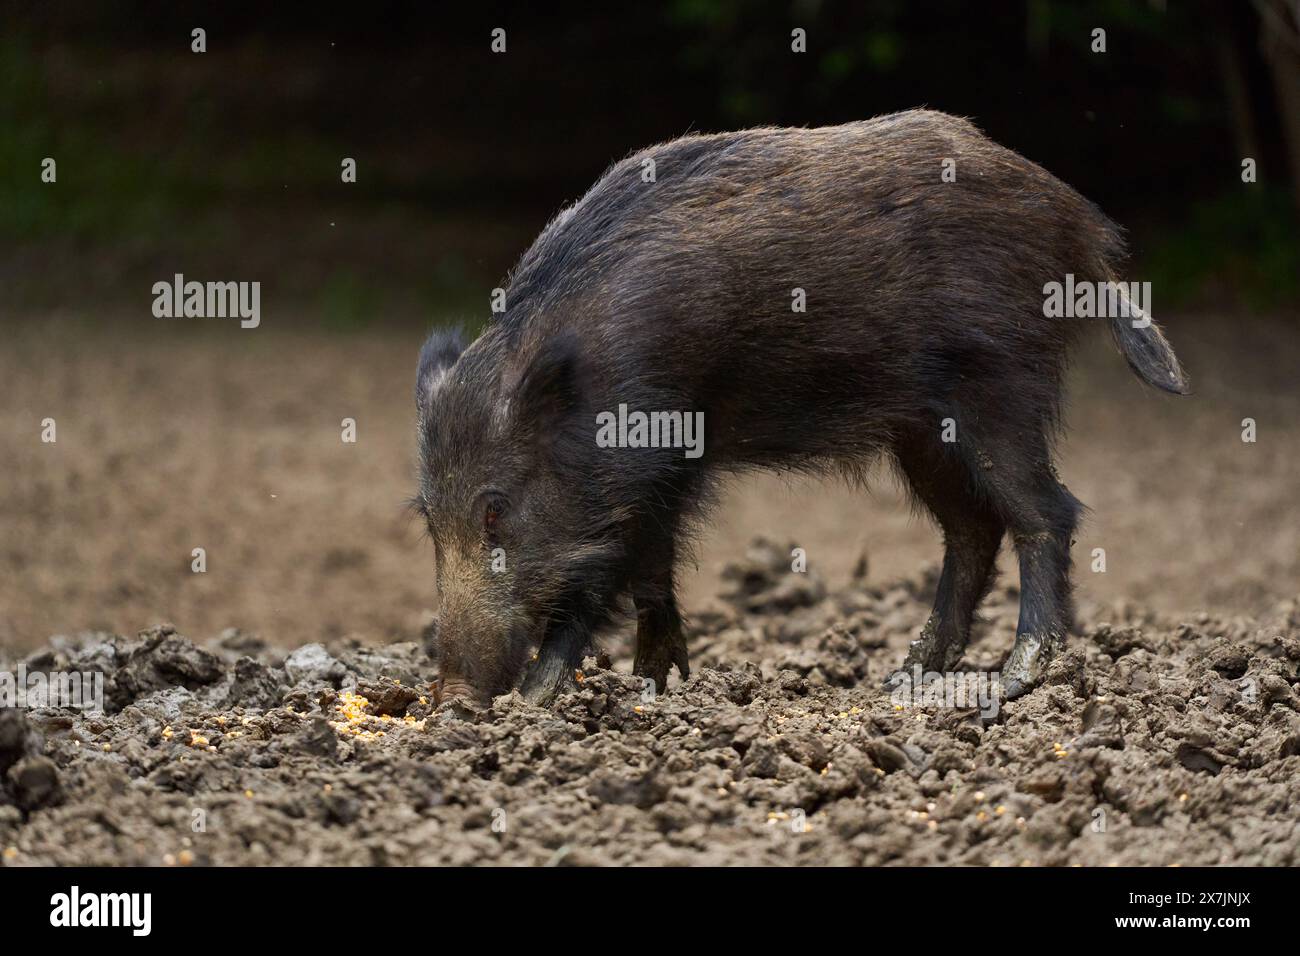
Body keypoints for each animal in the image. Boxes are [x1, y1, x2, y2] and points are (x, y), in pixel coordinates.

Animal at [414, 109, 1187, 706]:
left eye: (494, 509)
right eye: (427, 520)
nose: (453, 701)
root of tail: (1079, 227)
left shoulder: (645, 460)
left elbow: (610, 570)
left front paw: (536, 701)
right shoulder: (664, 472)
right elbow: (653, 570)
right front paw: (653, 687)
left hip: (998, 386)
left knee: (1047, 513)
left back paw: (1012, 679)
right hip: (922, 431)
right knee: (971, 530)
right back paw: (903, 679)